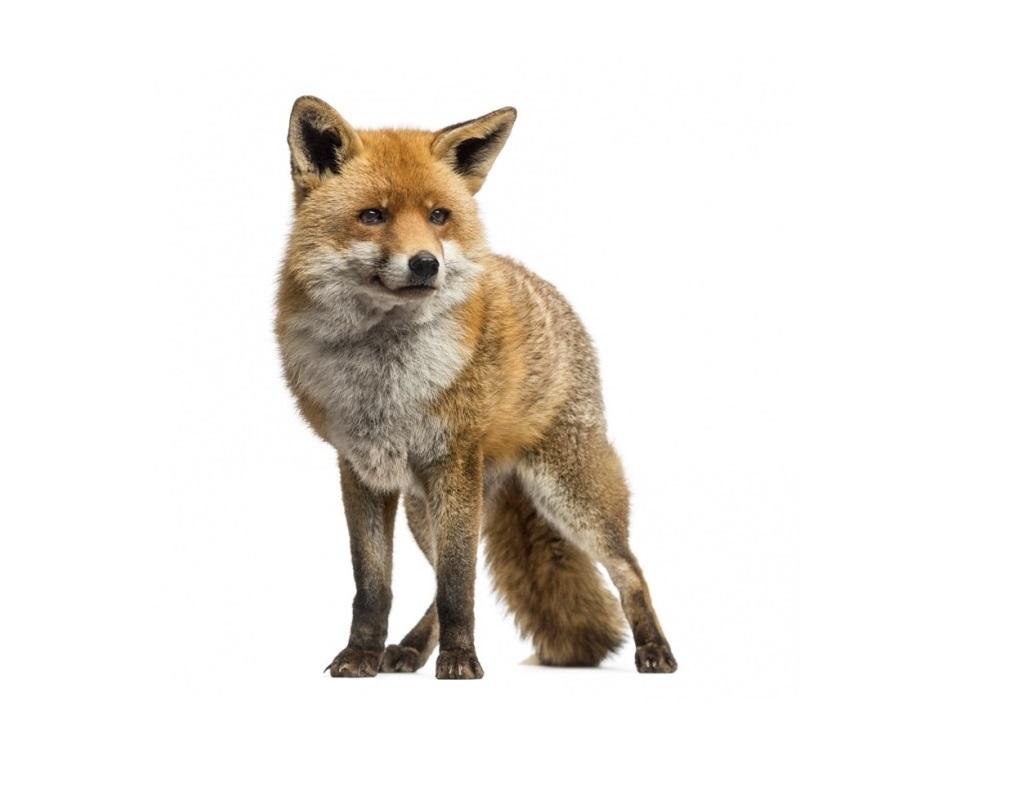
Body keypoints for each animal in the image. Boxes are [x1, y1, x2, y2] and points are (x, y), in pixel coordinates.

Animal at [276, 96, 677, 678]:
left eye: (439, 216)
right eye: (373, 216)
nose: (426, 263)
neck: (385, 378)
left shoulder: (454, 462)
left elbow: (457, 585)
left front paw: (461, 660)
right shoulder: (363, 469)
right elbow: (374, 586)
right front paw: (361, 655)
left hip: (568, 495)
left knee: (630, 570)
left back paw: (655, 649)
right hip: (428, 509)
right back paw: (408, 649)